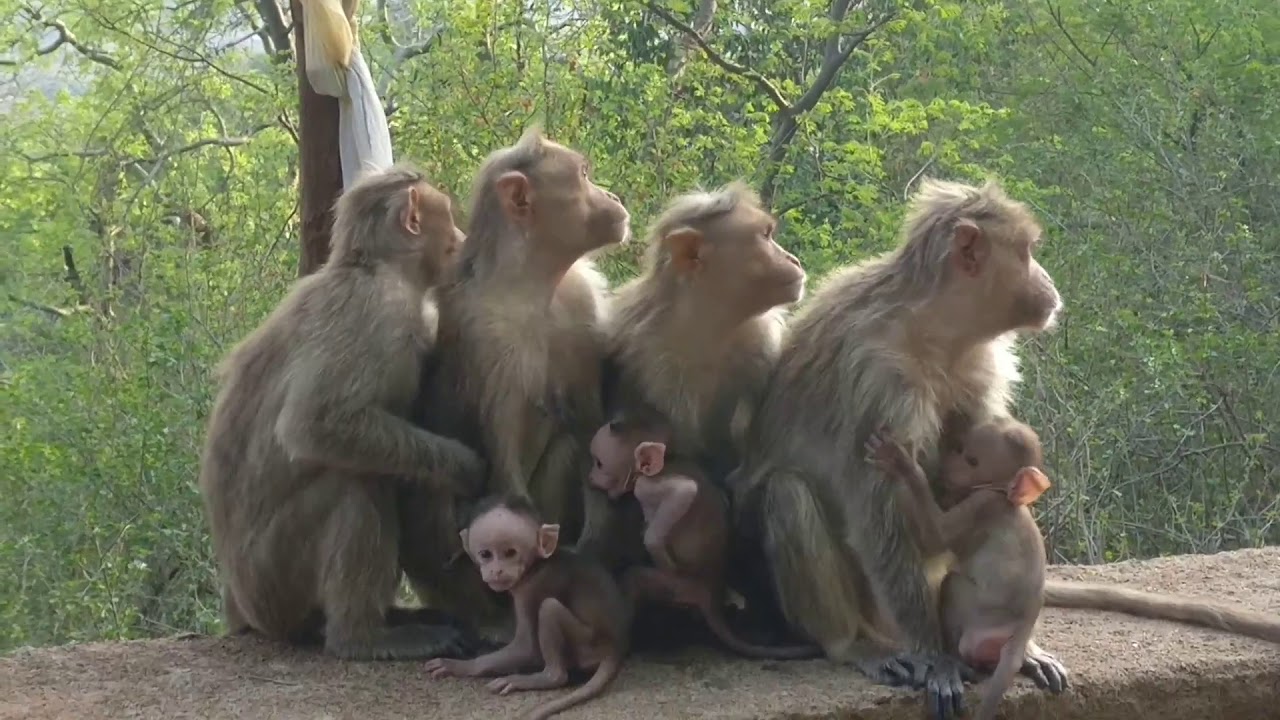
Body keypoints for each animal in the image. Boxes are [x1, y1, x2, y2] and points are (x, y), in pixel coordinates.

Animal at [197, 164, 488, 661]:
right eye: (448, 219)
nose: (462, 236)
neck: (376, 268)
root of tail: (242, 609)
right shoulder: (374, 311)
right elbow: (314, 423)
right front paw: (460, 466)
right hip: (276, 578)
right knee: (355, 480)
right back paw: (362, 637)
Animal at [400, 128, 631, 628]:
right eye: (584, 174)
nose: (612, 195)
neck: (532, 283)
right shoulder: (490, 339)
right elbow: (501, 451)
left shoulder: (580, 309)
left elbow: (591, 430)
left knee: (566, 446)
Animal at [426, 494, 630, 720]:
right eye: (486, 554)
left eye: (510, 552)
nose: (496, 570)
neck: (535, 565)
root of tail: (616, 646)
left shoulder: (532, 588)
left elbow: (527, 646)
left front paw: (460, 666)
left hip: (588, 643)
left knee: (549, 608)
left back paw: (547, 677)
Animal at [586, 417, 821, 661]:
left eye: (599, 464)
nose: (590, 477)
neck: (666, 462)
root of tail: (712, 590)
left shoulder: (647, 486)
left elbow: (684, 492)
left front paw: (654, 546)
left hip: (682, 587)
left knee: (636, 578)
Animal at [866, 420, 1054, 720]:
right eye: (961, 448)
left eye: (972, 460)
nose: (948, 462)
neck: (1004, 495)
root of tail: (1021, 632)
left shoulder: (982, 505)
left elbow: (935, 537)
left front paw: (903, 466)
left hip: (982, 620)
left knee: (952, 585)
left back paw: (952, 661)